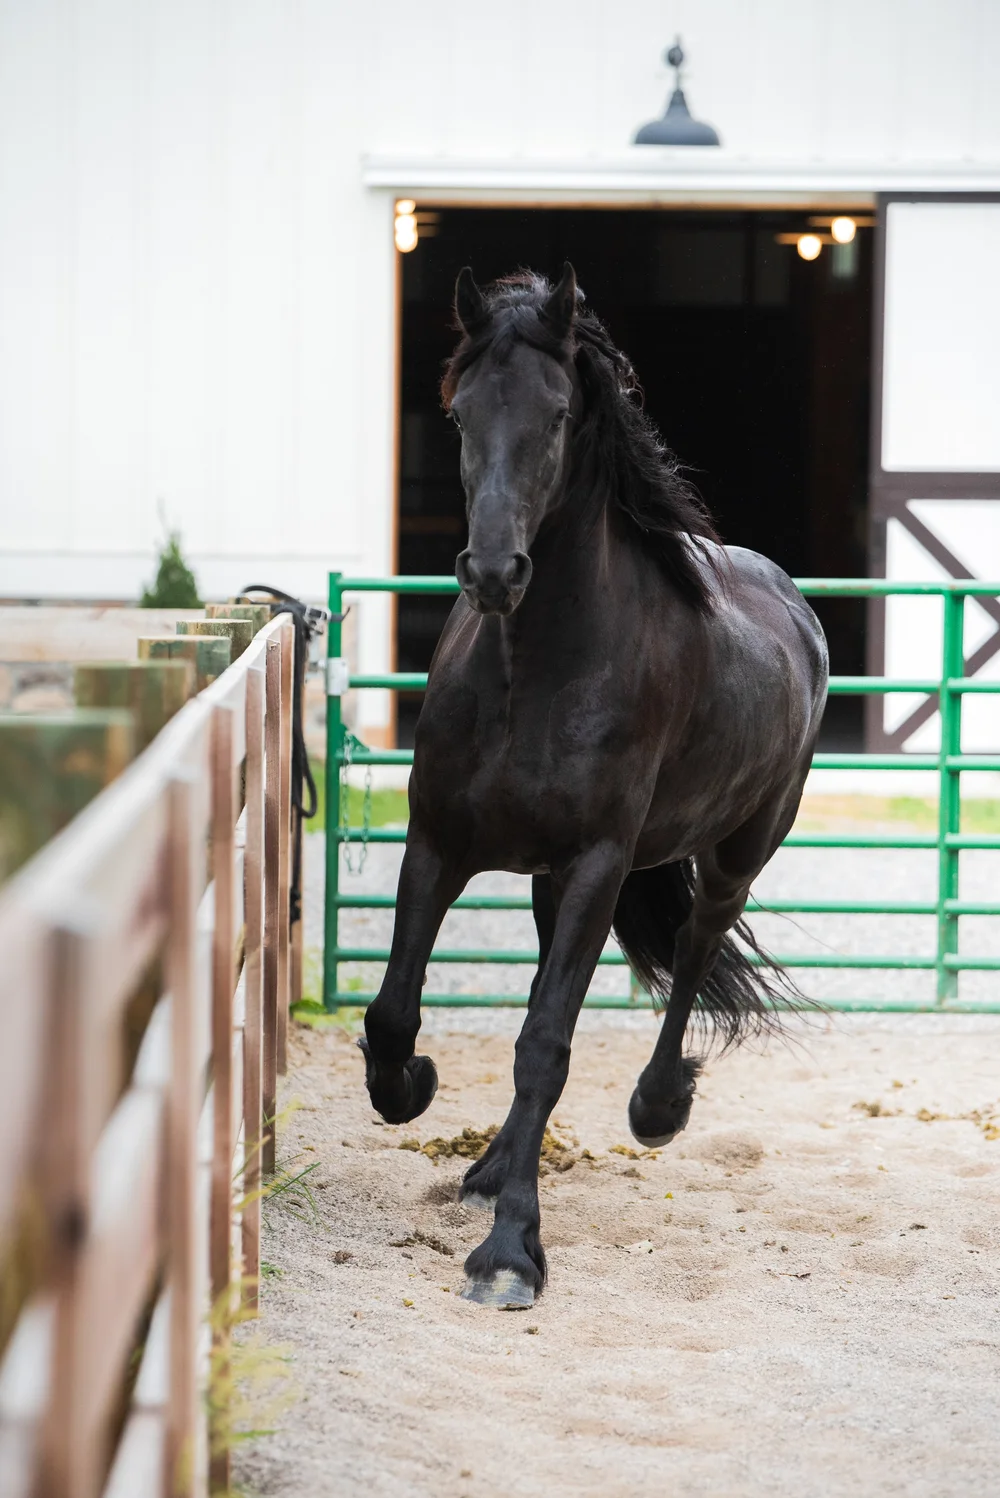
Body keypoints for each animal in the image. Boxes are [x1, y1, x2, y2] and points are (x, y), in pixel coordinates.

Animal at [358, 264, 829, 1309]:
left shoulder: (597, 867)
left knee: (694, 950)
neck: (532, 672)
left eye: (561, 413)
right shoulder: (438, 842)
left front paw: (508, 1257)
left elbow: (546, 1045)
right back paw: (493, 1163)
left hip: (734, 854)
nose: (494, 571)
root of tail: (795, 607)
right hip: (545, 877)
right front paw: (412, 1085)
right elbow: (395, 1011)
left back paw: (659, 1106)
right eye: (458, 413)